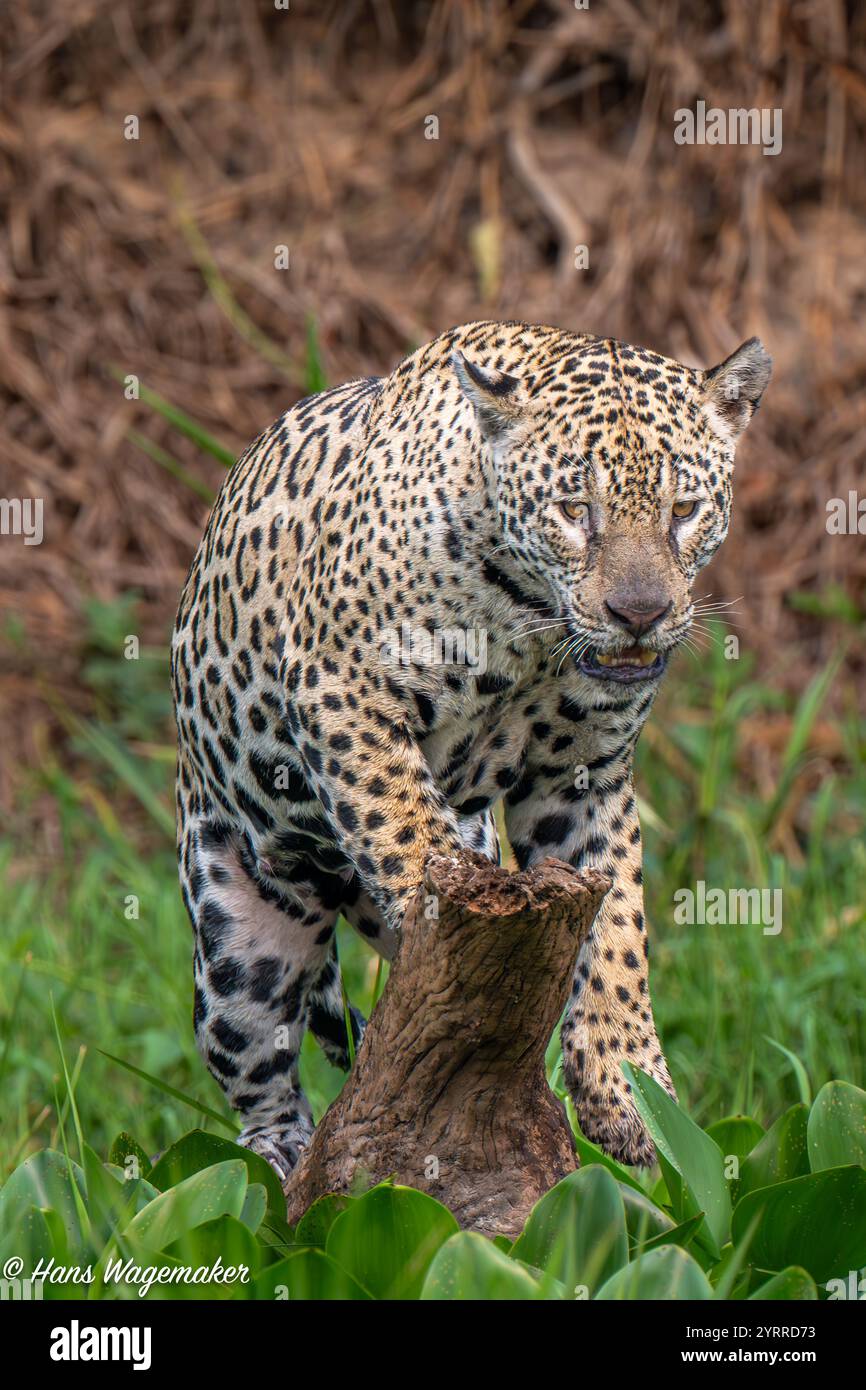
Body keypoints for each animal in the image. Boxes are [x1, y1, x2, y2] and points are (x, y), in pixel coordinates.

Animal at [171, 319, 771, 1185]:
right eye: (574, 509)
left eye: (684, 509)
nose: (641, 613)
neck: (531, 623)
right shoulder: (340, 688)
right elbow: (406, 827)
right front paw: (443, 892)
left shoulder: (586, 779)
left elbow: (618, 931)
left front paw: (630, 1094)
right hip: (236, 944)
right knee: (257, 1074)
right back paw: (281, 1160)